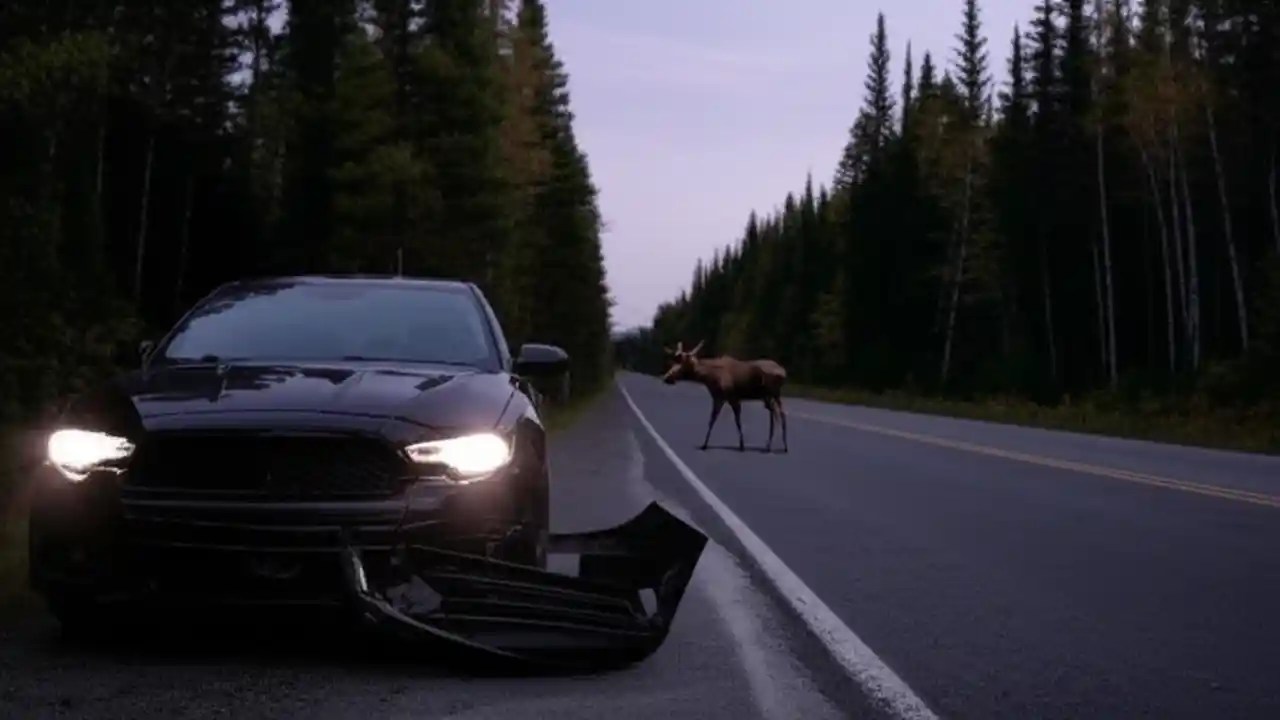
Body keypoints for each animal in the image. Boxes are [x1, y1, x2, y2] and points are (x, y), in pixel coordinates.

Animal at [660, 340, 789, 453]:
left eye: (682, 365)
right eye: (674, 363)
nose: (667, 377)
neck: (709, 377)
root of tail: (784, 372)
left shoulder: (732, 397)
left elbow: (737, 421)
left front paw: (742, 445)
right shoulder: (718, 398)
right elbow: (712, 420)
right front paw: (704, 444)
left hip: (773, 393)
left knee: (780, 414)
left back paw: (781, 446)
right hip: (769, 396)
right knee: (776, 414)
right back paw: (772, 446)